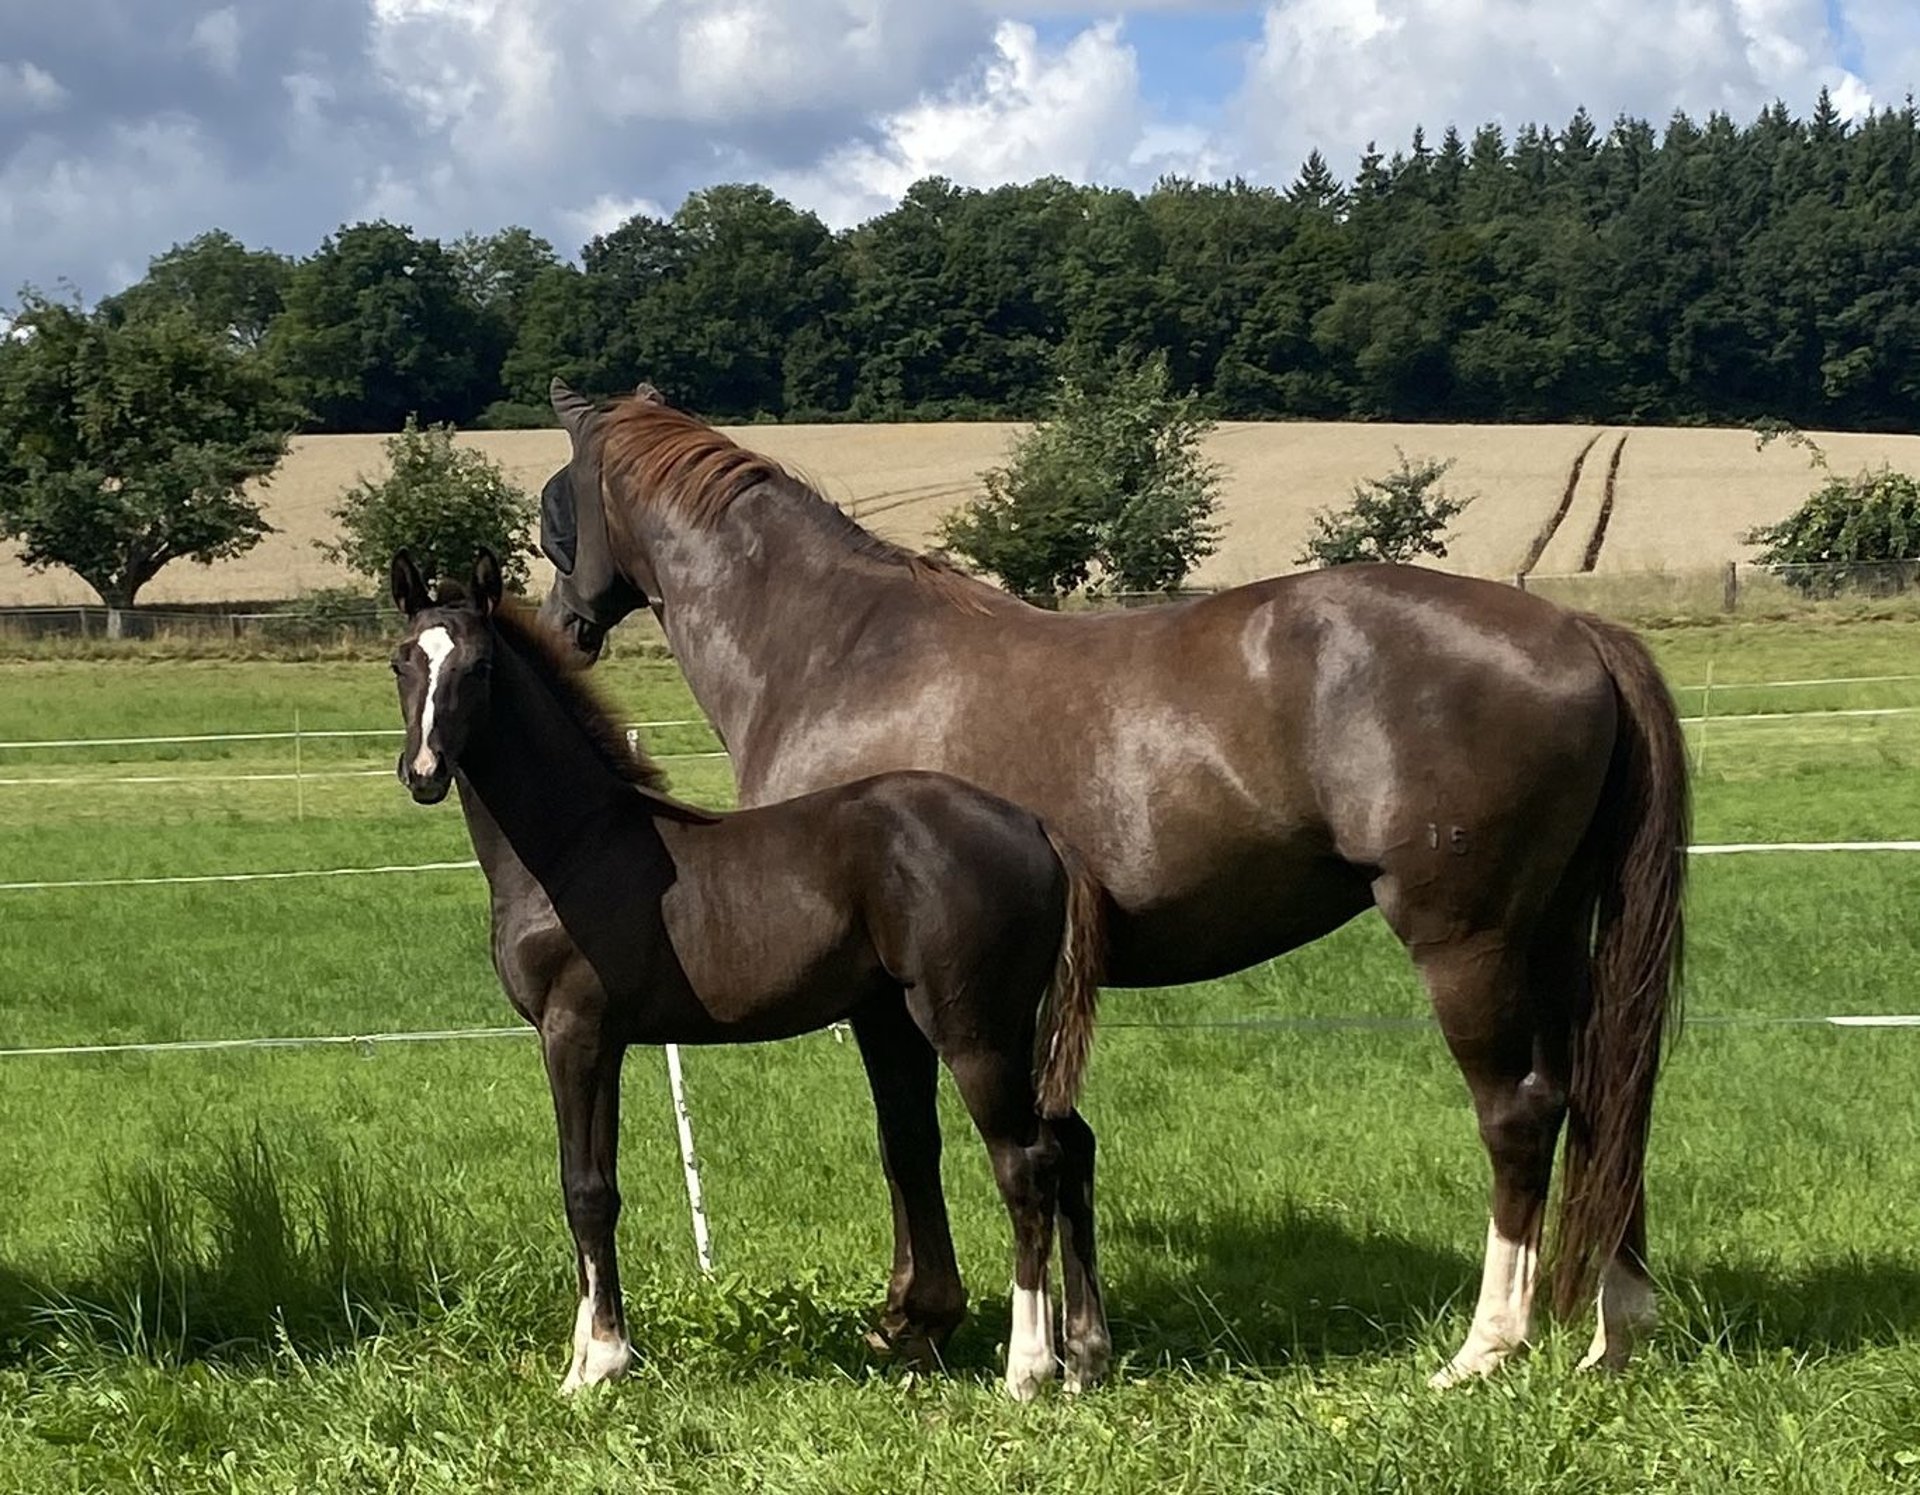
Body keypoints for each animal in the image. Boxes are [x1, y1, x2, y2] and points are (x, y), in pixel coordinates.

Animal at [388, 548, 1109, 1398]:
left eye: (481, 666)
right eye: (404, 660)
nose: (424, 771)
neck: (575, 846)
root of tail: (1036, 828)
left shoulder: (576, 1032)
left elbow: (585, 1190)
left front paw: (598, 1365)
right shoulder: (602, 1041)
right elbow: (593, 1185)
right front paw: (588, 1352)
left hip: (974, 1029)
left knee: (1026, 1163)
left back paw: (1028, 1367)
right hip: (1013, 1030)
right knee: (1071, 1144)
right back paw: (1084, 1356)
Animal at [533, 379, 1691, 1388]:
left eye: (551, 510)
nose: (563, 627)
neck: (836, 648)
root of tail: (1578, 631)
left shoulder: (888, 999)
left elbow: (909, 1142)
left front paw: (919, 1319)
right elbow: (1051, 1142)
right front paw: (1066, 1338)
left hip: (1467, 942)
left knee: (1520, 1111)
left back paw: (1487, 1344)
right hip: (1557, 934)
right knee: (1604, 1098)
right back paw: (1613, 1331)